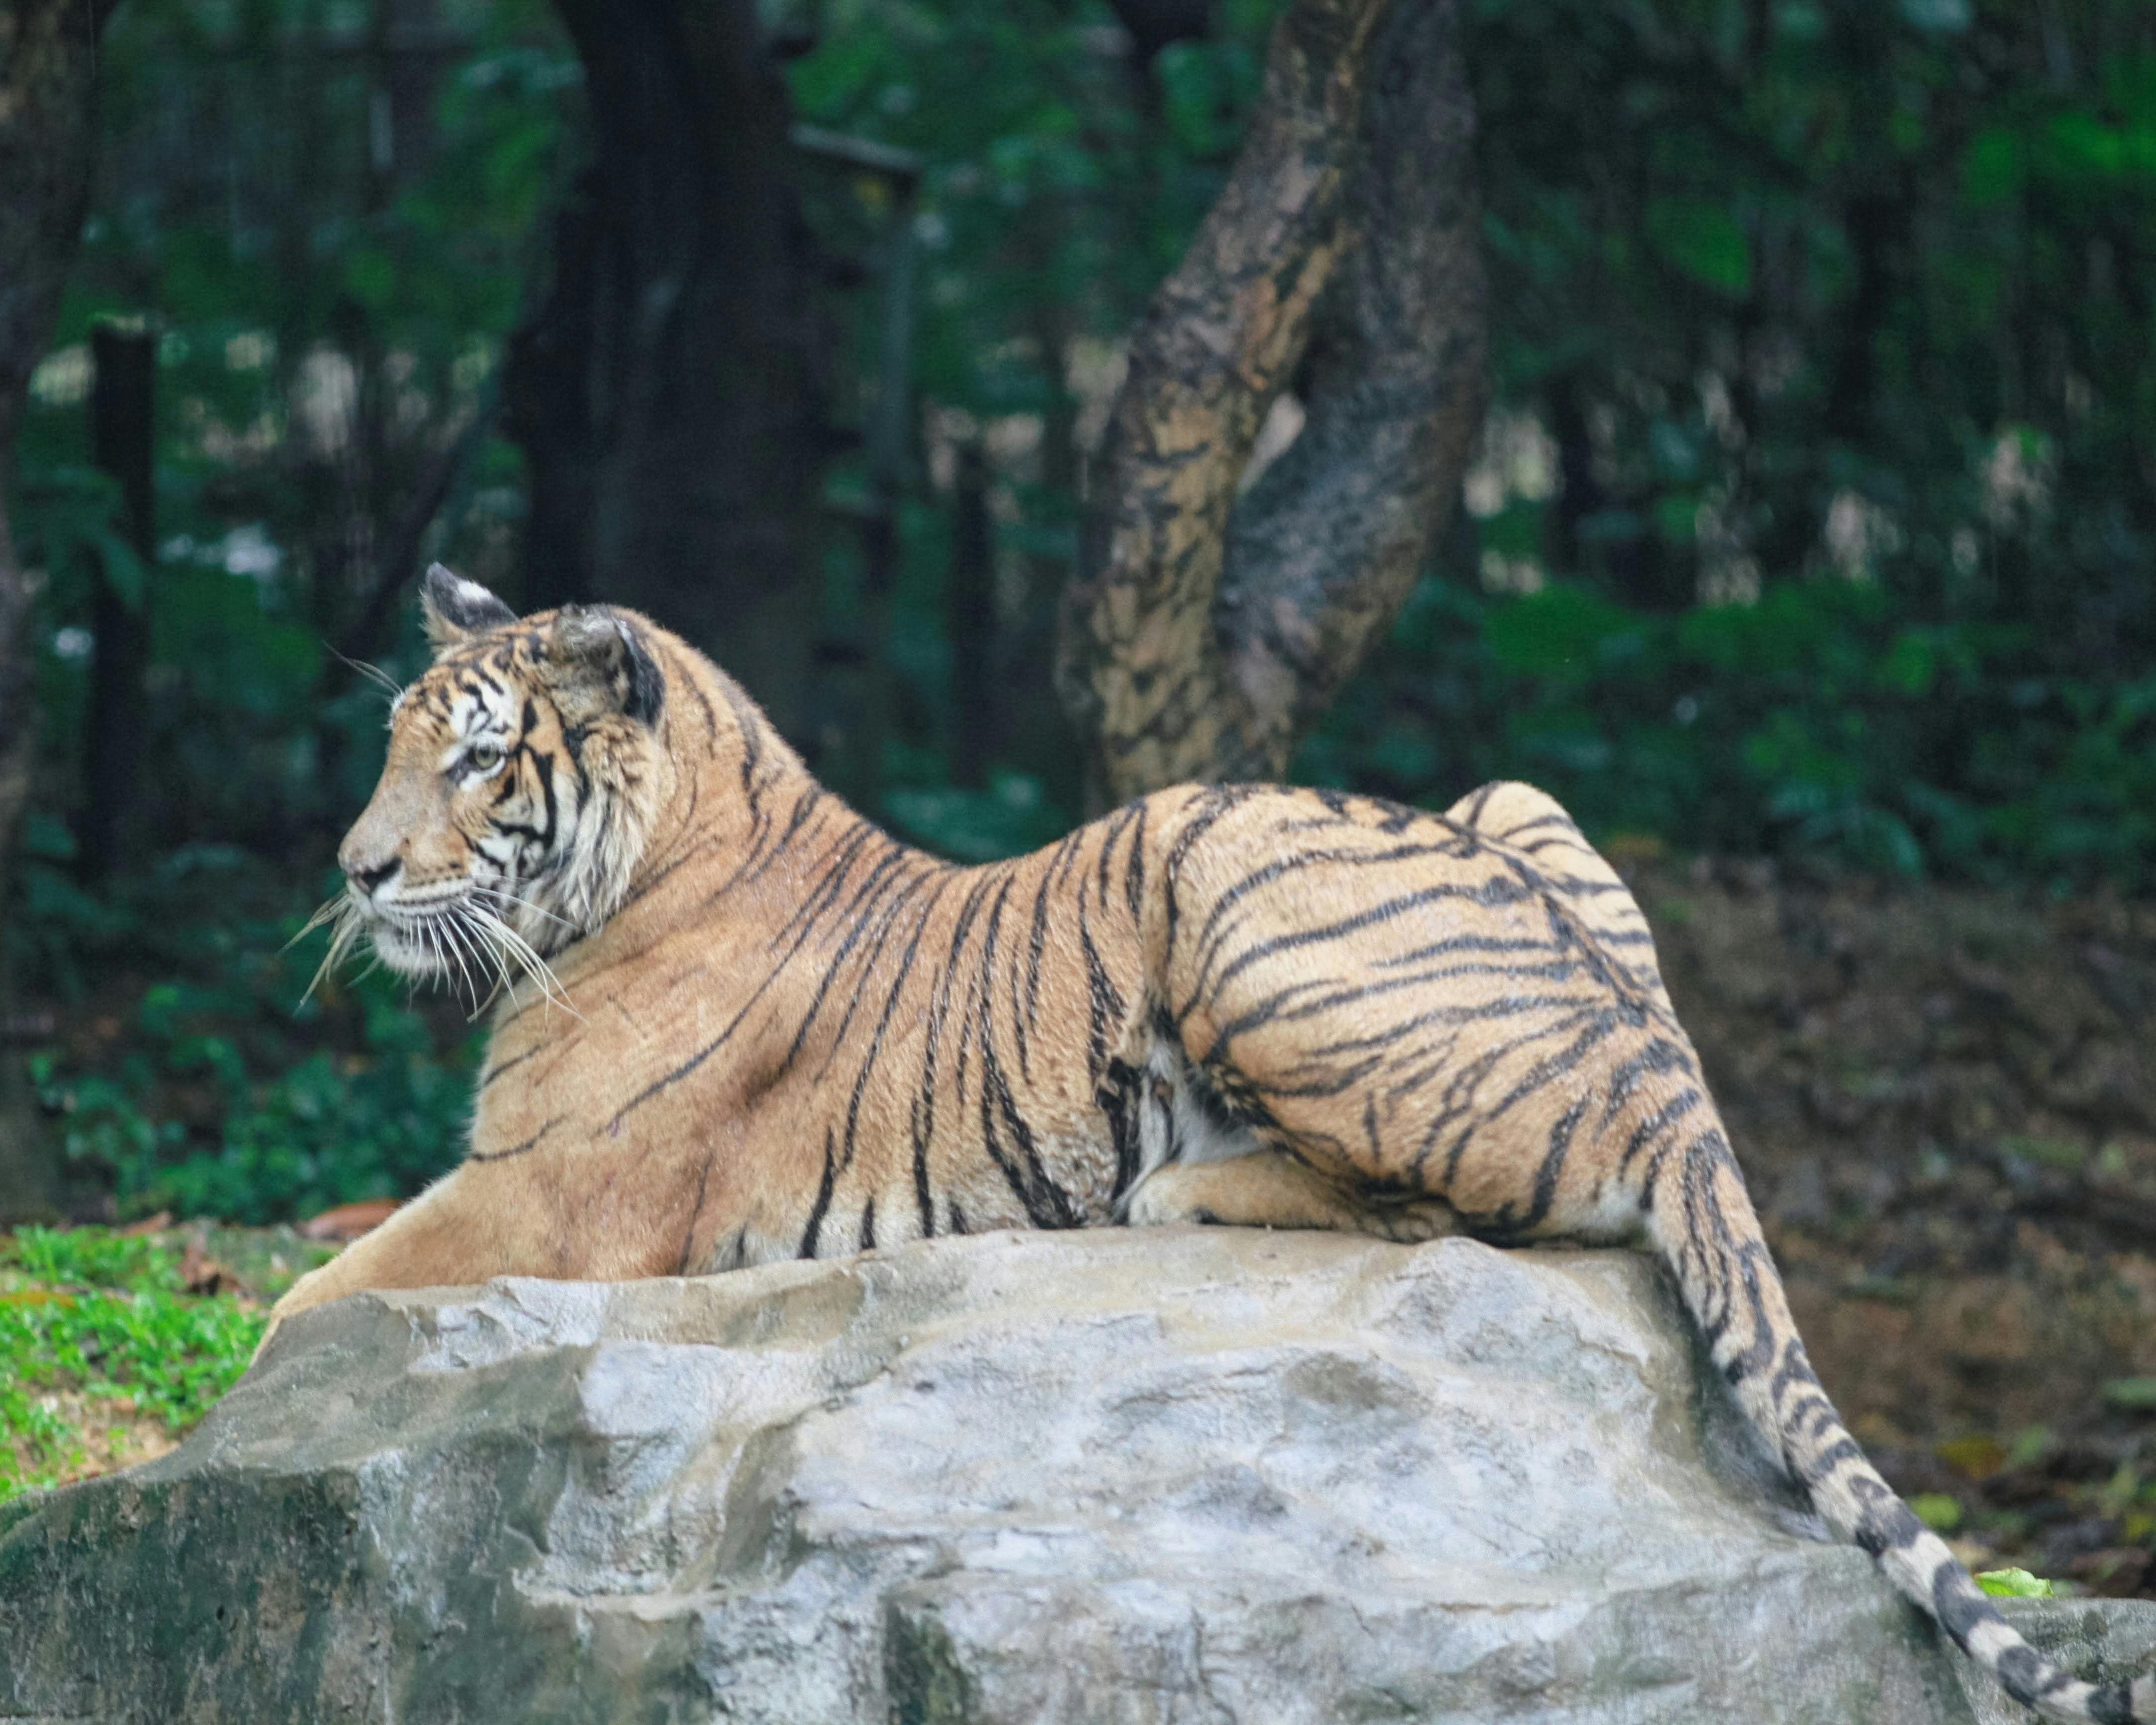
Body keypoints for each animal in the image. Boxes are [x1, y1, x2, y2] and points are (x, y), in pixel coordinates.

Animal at [264, 562, 2148, 1725]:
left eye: (479, 760)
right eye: (390, 746)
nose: (352, 868)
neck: (646, 865)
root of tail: (1657, 1055)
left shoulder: (544, 1193)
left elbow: (303, 1310)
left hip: (1217, 865)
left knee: (1439, 1212)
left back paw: (1178, 1179)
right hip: (1517, 802)